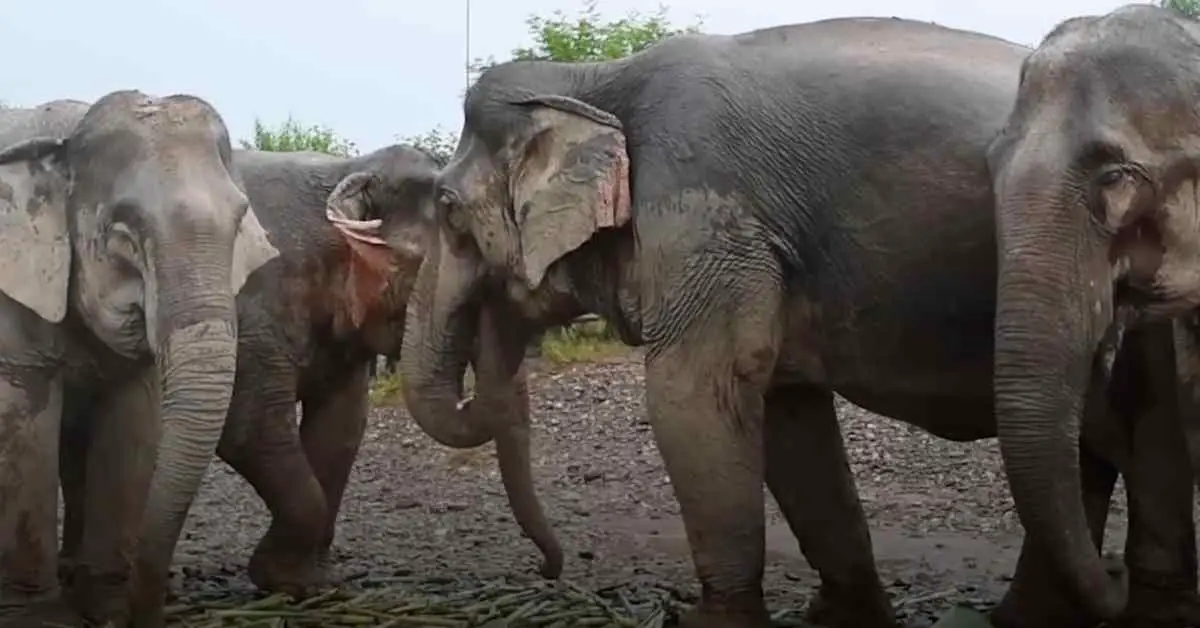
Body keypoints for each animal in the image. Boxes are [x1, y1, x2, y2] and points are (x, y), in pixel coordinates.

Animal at [0, 91, 279, 627]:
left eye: (239, 223)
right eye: (123, 236)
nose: (146, 613)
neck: (66, 137)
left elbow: (128, 427)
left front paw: (106, 609)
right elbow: (24, 424)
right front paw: (35, 618)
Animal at [57, 145, 562, 605]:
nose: (544, 570)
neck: (343, 171)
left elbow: (340, 428)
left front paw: (311, 583)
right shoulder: (251, 309)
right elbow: (249, 424)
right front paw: (281, 579)